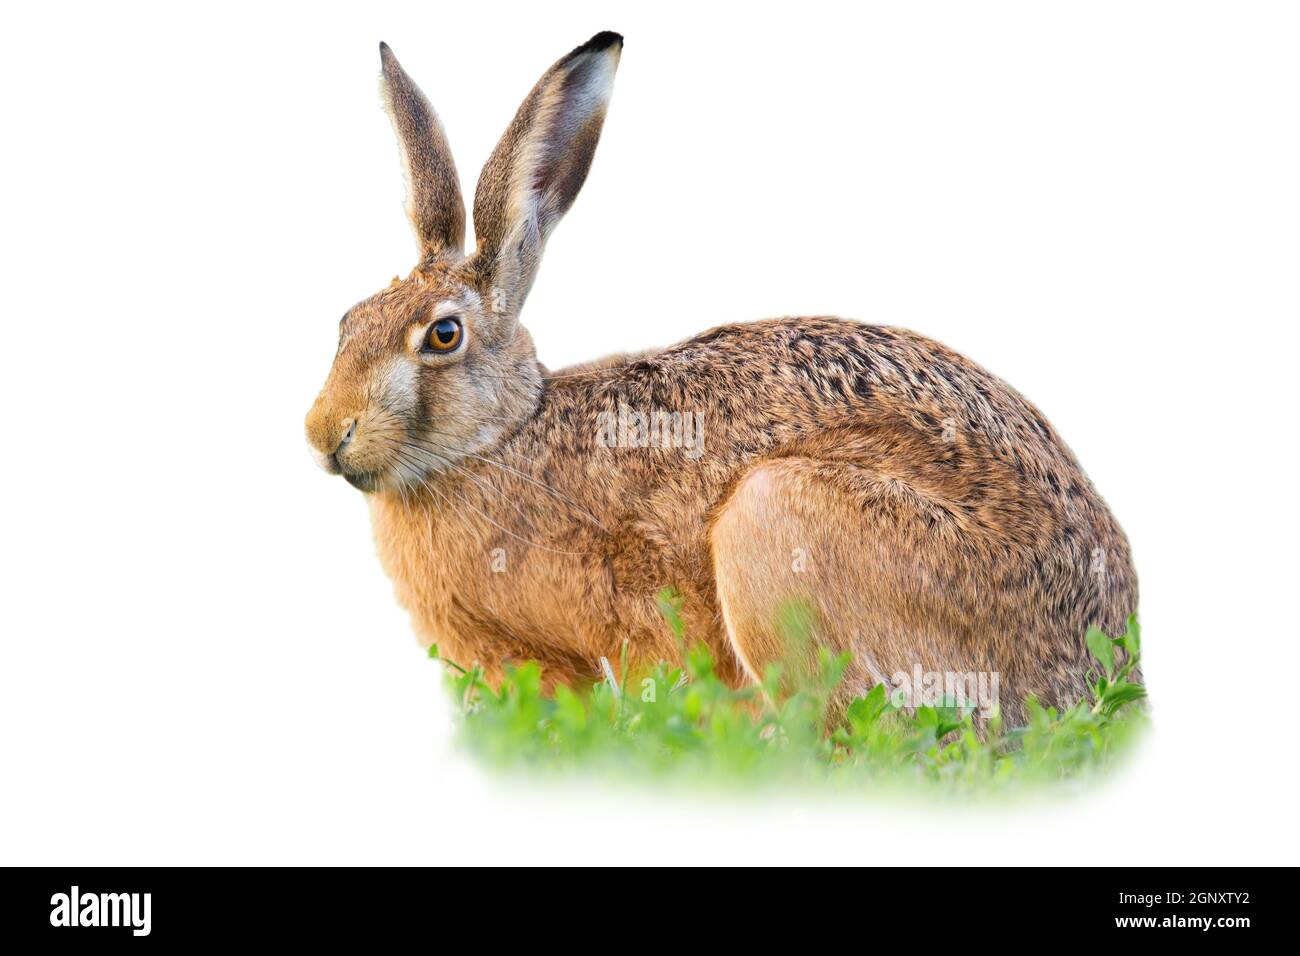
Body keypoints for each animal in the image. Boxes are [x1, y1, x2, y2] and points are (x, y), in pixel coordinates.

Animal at [305, 32, 1137, 727]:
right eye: (347, 320)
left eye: (442, 336)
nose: (324, 434)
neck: (497, 439)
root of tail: (1101, 663)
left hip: (777, 520)